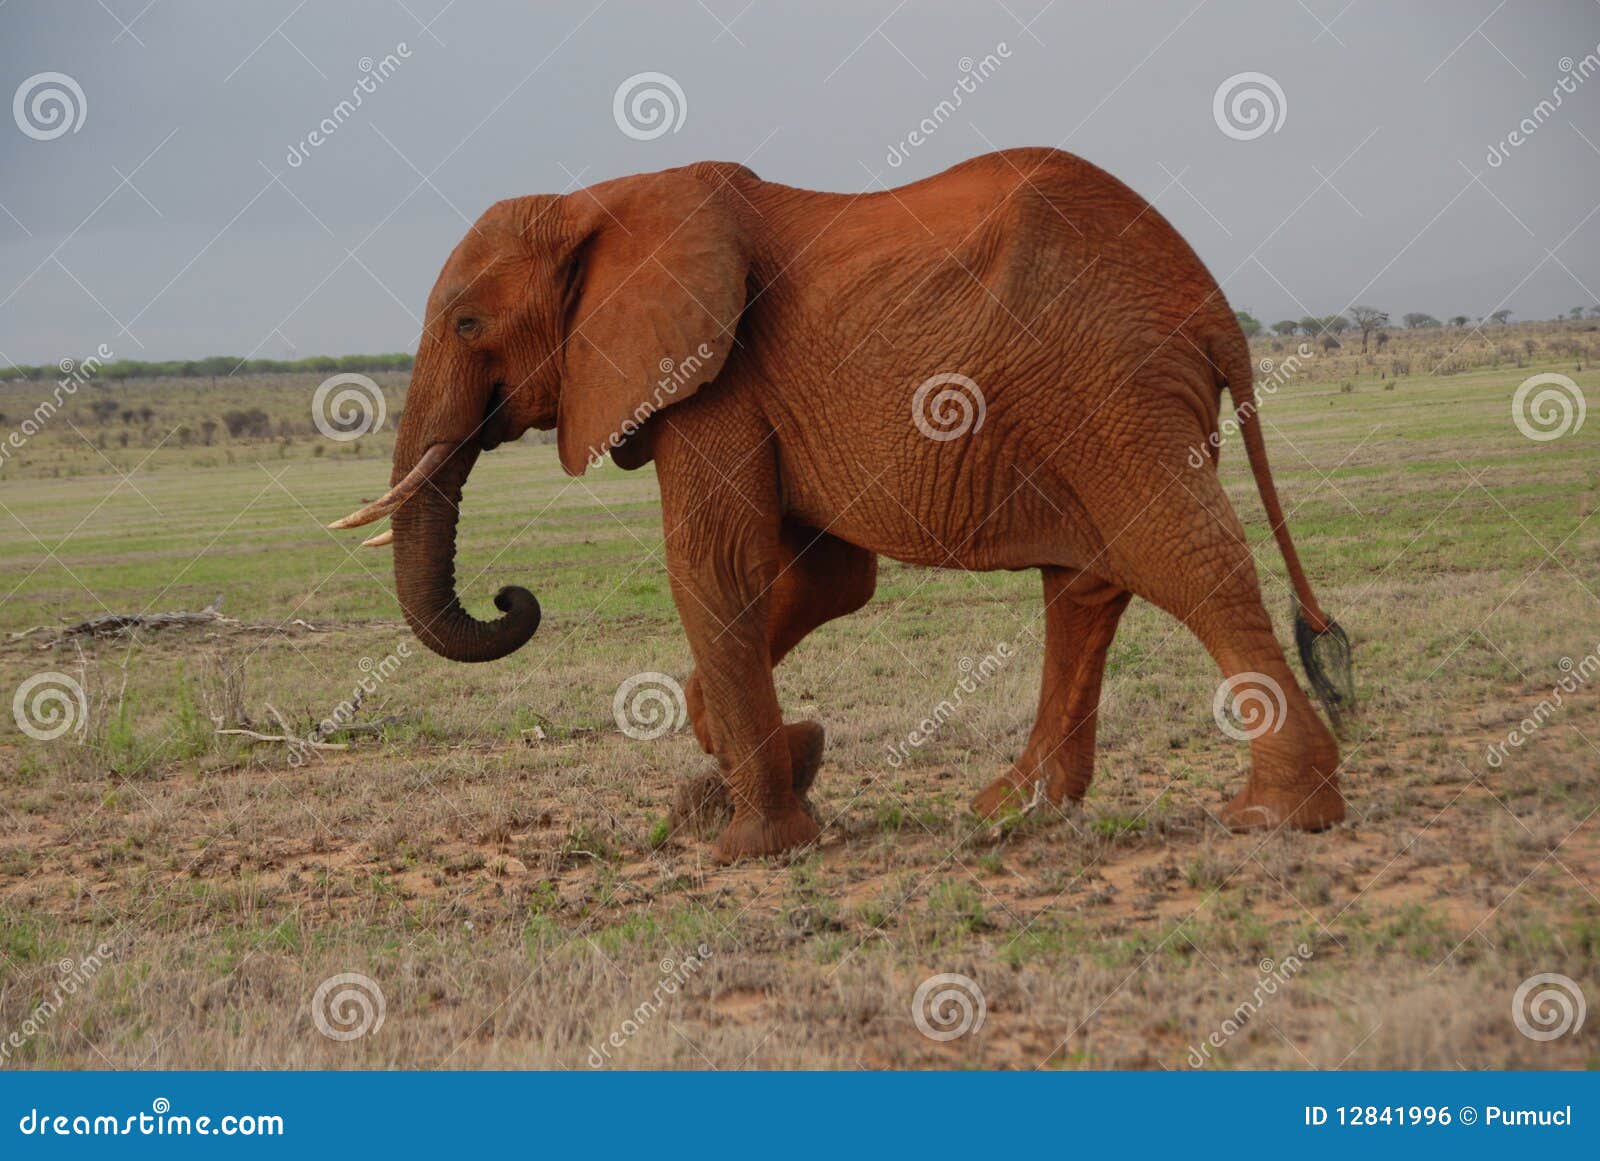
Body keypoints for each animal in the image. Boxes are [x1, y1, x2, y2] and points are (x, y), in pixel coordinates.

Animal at [331, 147, 1353, 863]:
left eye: (468, 323)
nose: (513, 596)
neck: (602, 199)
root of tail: (1217, 308)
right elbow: (827, 580)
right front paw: (778, 756)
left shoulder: (715, 378)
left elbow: (714, 567)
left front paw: (752, 844)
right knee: (1088, 583)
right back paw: (1013, 806)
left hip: (1110, 383)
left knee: (1181, 558)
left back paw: (1278, 813)